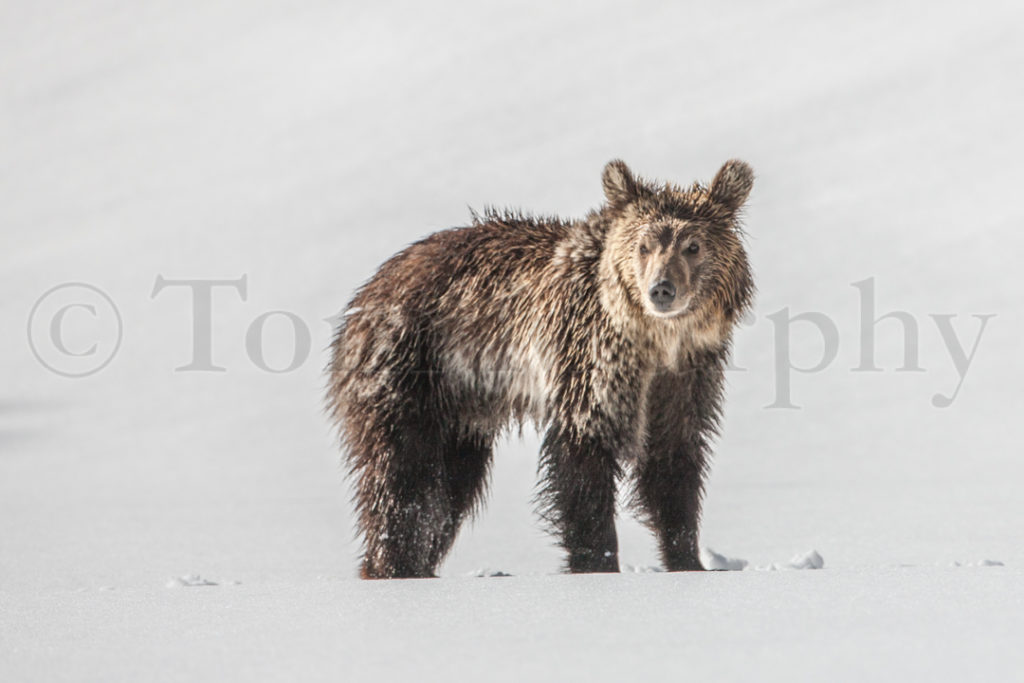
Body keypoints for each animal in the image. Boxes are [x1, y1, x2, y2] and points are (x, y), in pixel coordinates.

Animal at [326, 159, 754, 578]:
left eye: (693, 246)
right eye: (643, 245)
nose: (662, 289)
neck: (657, 342)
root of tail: (367, 291)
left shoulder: (686, 375)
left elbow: (673, 461)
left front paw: (688, 561)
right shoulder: (589, 358)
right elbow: (582, 463)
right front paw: (598, 562)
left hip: (460, 412)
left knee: (449, 490)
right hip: (409, 368)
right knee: (403, 480)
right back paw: (392, 565)